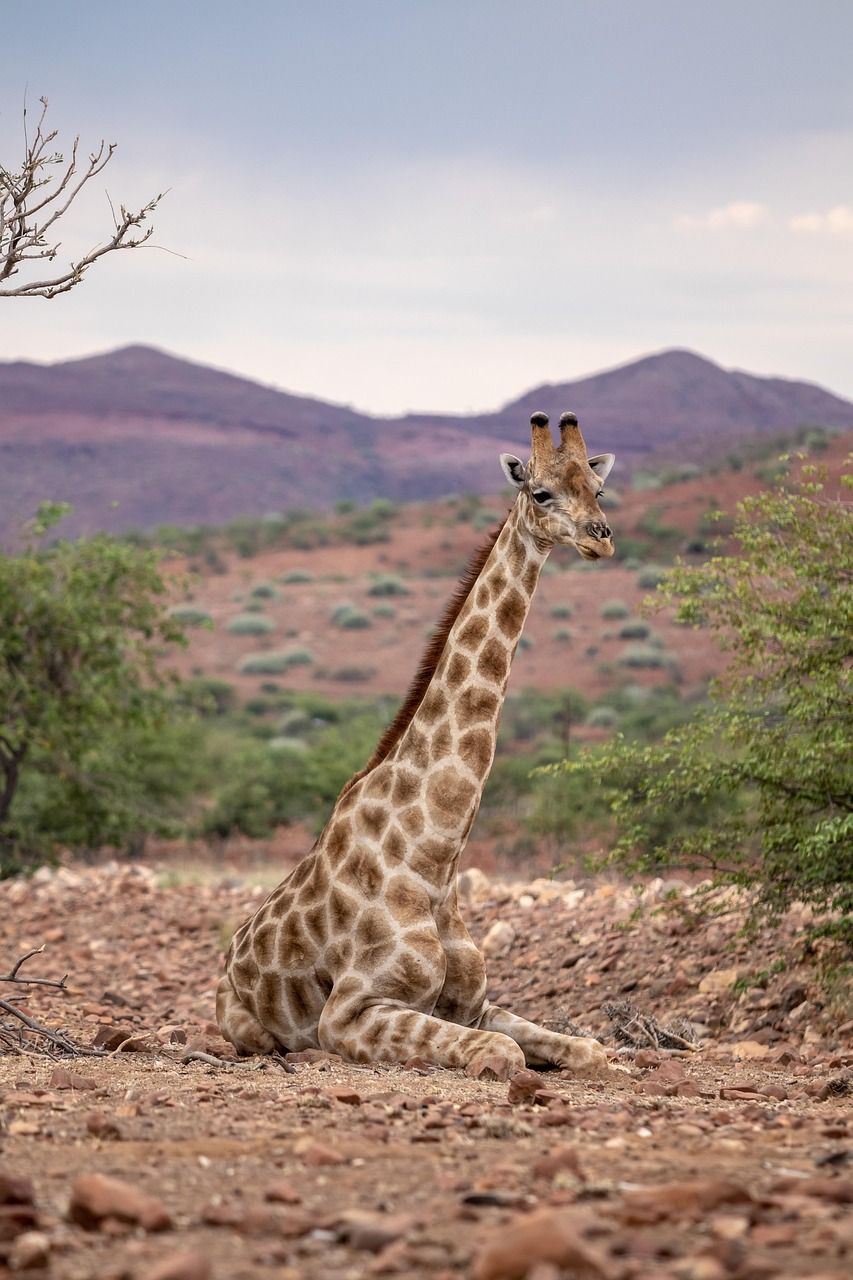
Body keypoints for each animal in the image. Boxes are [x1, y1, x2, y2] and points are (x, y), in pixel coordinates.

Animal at [216, 410, 616, 1080]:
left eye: (599, 488)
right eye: (541, 493)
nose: (601, 538)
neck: (435, 857)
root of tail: (228, 959)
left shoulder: (475, 1005)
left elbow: (591, 1050)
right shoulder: (349, 1012)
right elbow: (505, 1054)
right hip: (249, 1028)